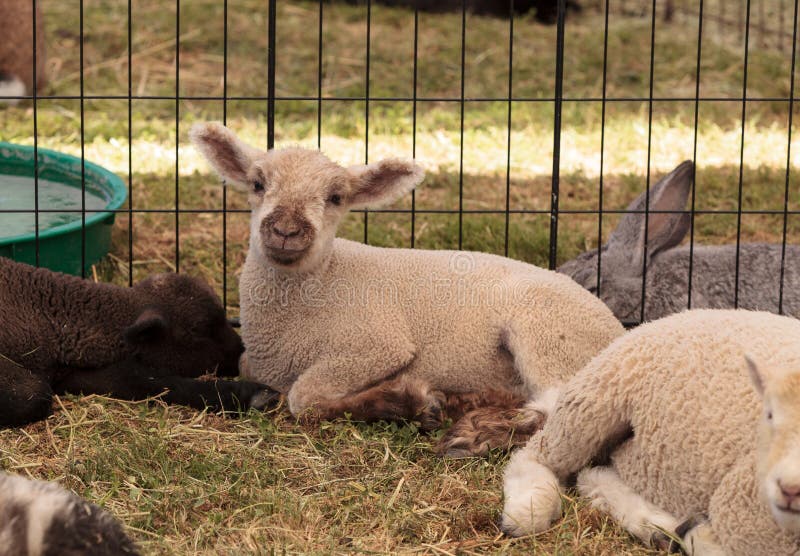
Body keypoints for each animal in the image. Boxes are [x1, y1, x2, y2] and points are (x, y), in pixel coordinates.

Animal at [0, 256, 277, 427]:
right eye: (200, 329)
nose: (241, 352)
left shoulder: (72, 372)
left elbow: (147, 380)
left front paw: (251, 395)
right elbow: (33, 395)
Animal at [190, 121, 624, 457]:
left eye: (336, 197)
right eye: (257, 183)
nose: (285, 231)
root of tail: (617, 331)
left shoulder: (376, 345)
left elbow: (304, 398)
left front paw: (400, 402)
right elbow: (254, 370)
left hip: (549, 334)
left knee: (560, 407)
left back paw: (478, 435)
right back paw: (467, 404)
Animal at [501, 309, 800, 555]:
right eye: (769, 415)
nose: (789, 489)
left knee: (592, 472)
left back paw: (659, 526)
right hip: (594, 398)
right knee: (537, 457)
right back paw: (526, 510)